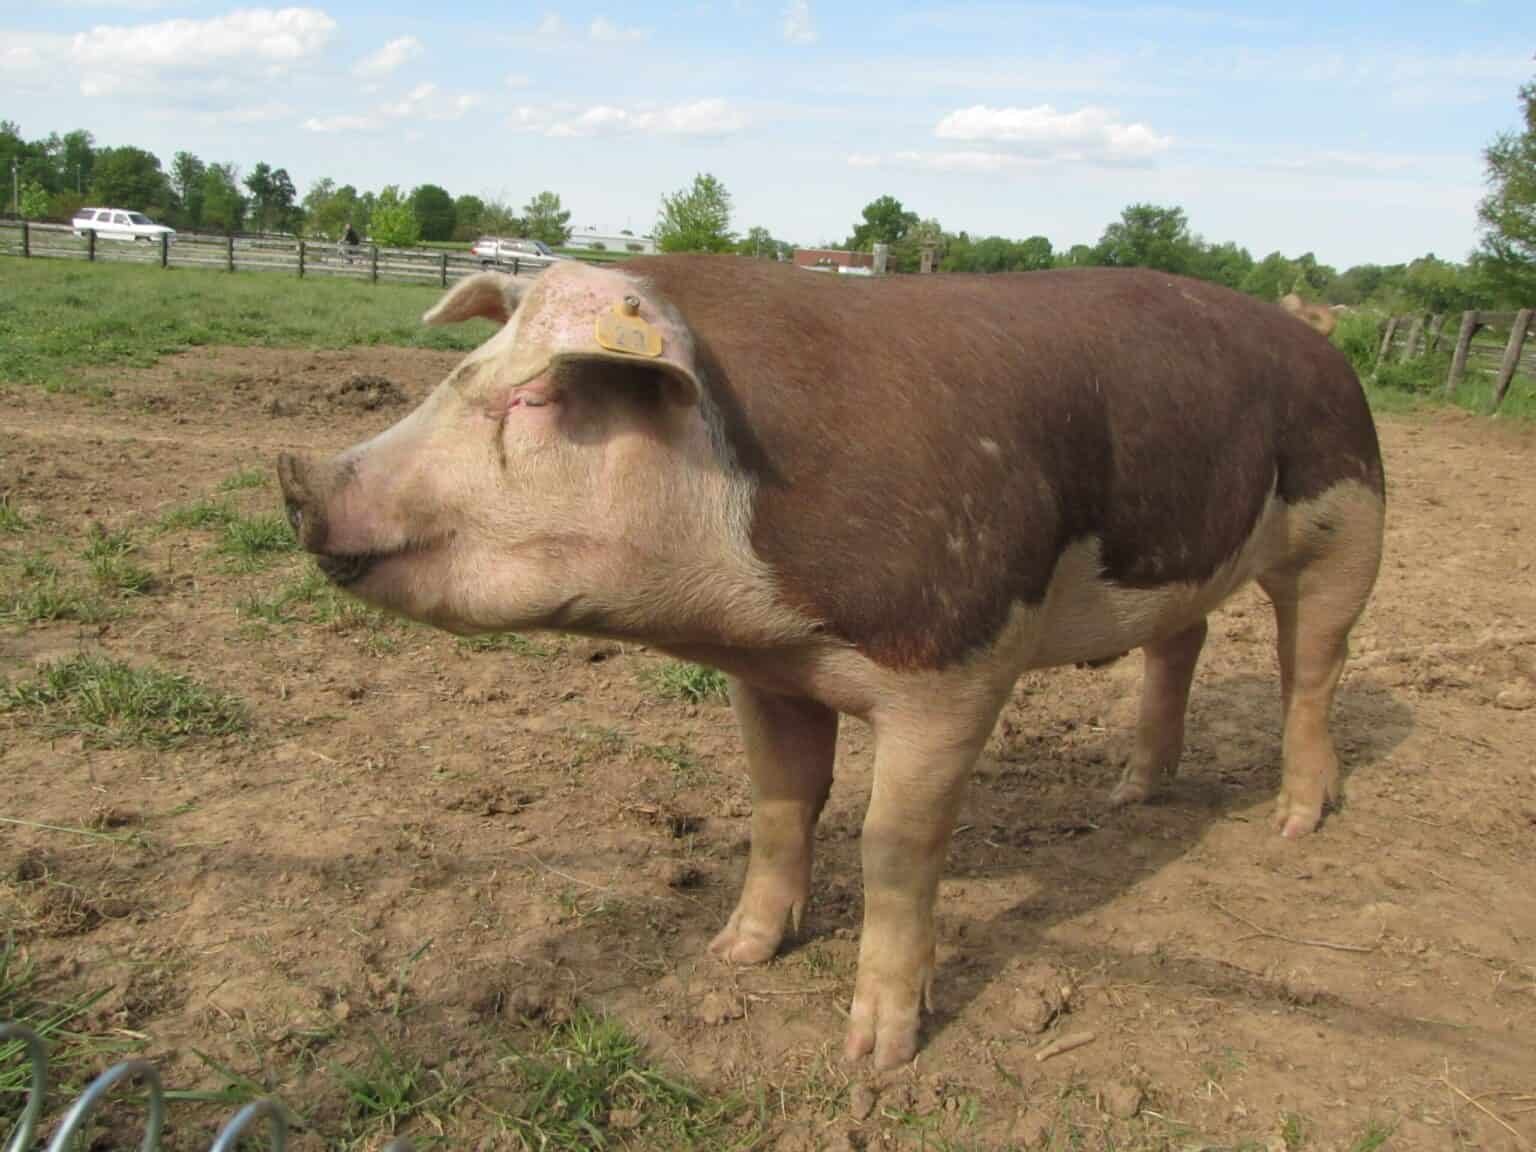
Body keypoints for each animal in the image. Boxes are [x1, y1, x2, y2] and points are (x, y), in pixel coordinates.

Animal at [276, 256, 1385, 1069]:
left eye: (541, 396)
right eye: (466, 369)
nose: (298, 477)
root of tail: (1322, 345)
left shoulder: (956, 662)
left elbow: (894, 845)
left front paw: (877, 1055)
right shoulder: (769, 675)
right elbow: (780, 805)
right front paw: (736, 953)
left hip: (1349, 523)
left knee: (1312, 670)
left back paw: (1297, 821)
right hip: (1184, 553)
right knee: (1180, 641)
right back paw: (1130, 793)